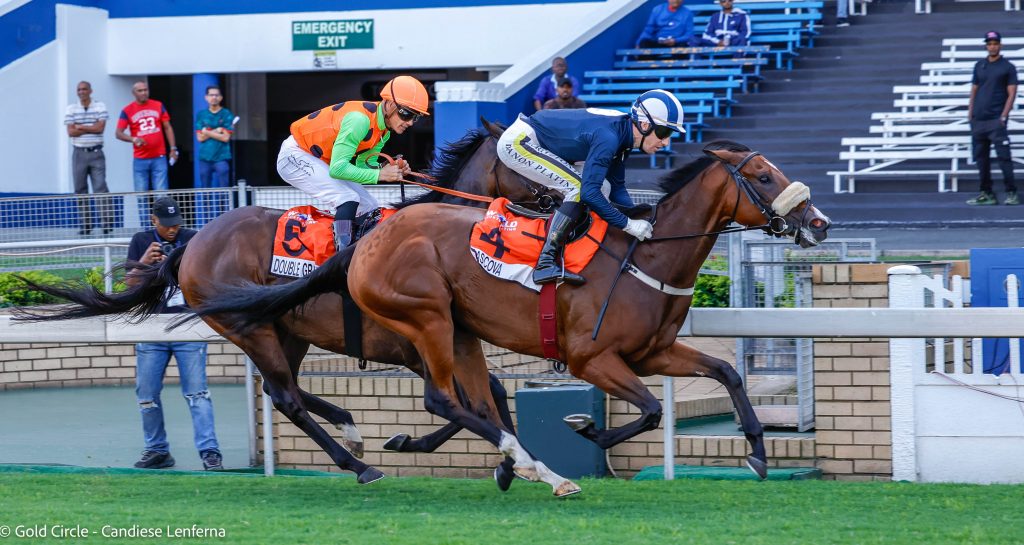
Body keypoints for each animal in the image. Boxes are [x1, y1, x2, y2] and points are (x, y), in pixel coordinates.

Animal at [20, 122, 561, 486]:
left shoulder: (435, 341)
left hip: (287, 329)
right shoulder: (415, 346)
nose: (563, 198)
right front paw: (469, 454)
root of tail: (189, 244)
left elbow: (491, 391)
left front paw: (502, 464)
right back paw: (357, 464)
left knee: (287, 389)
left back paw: (350, 427)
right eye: (527, 155)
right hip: (248, 328)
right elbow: (464, 397)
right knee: (284, 396)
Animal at [193, 141, 831, 496]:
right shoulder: (591, 357)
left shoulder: (653, 351)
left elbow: (727, 374)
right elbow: (649, 410)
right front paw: (586, 429)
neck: (643, 256)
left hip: (422, 331)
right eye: (765, 176)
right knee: (402, 398)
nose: (819, 222)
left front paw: (757, 451)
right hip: (411, 320)